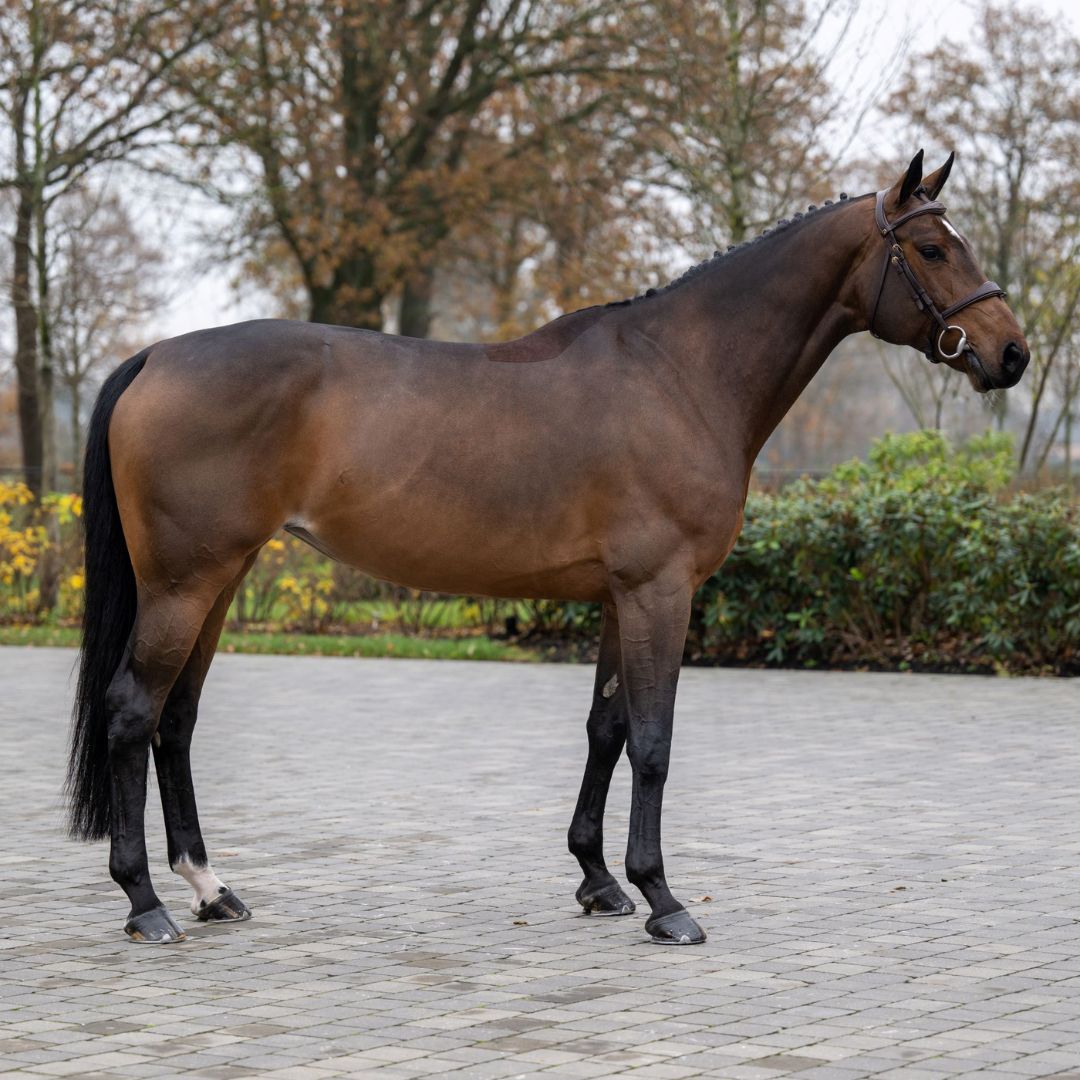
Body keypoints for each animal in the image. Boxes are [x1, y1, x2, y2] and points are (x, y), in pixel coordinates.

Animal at [67, 151, 1029, 945]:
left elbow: (606, 728)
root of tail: (156, 357)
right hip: (185, 583)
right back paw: (146, 904)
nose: (1011, 353)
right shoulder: (660, 590)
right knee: (132, 712)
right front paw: (664, 899)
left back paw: (211, 889)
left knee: (177, 721)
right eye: (933, 249)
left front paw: (600, 882)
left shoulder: (617, 595)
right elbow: (653, 740)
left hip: (220, 580)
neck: (680, 373)